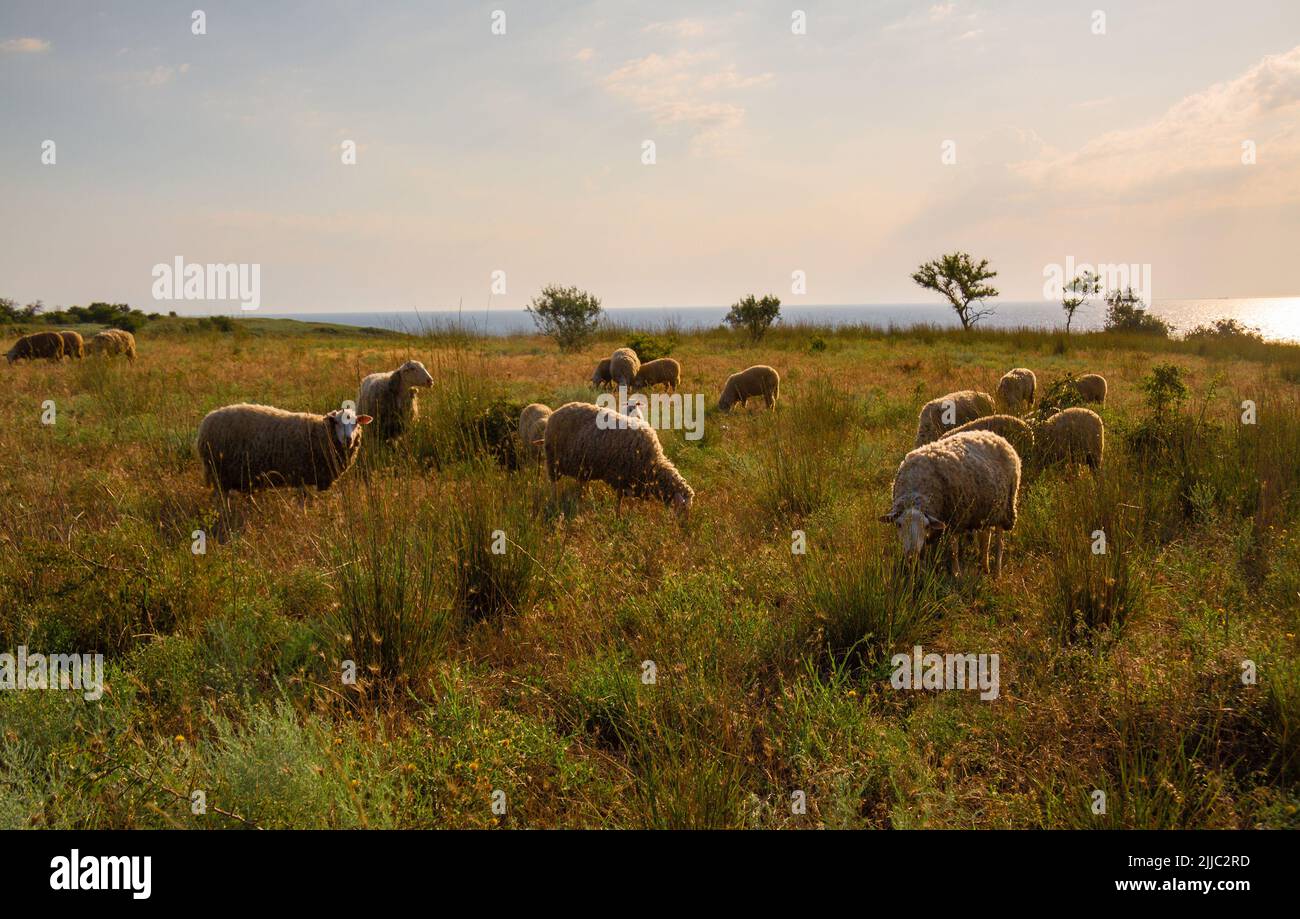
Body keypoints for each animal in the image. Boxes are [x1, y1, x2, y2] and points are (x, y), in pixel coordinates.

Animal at [195, 403, 373, 493]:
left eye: (356, 422)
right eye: (336, 422)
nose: (348, 440)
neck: (319, 433)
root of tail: (206, 421)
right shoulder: (301, 475)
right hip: (219, 472)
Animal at [542, 401, 693, 517]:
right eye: (682, 509)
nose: (683, 528)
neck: (652, 463)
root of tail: (559, 410)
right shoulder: (620, 476)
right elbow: (620, 499)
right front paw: (619, 515)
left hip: (582, 466)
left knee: (582, 483)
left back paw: (583, 497)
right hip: (553, 460)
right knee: (553, 484)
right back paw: (554, 502)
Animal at [880, 430, 1021, 578]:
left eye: (926, 526)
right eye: (898, 525)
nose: (912, 555)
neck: (915, 490)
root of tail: (993, 434)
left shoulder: (955, 518)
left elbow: (954, 550)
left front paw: (956, 573)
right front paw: (922, 571)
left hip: (1006, 507)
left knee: (999, 541)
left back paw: (997, 572)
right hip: (987, 508)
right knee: (986, 535)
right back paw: (984, 566)